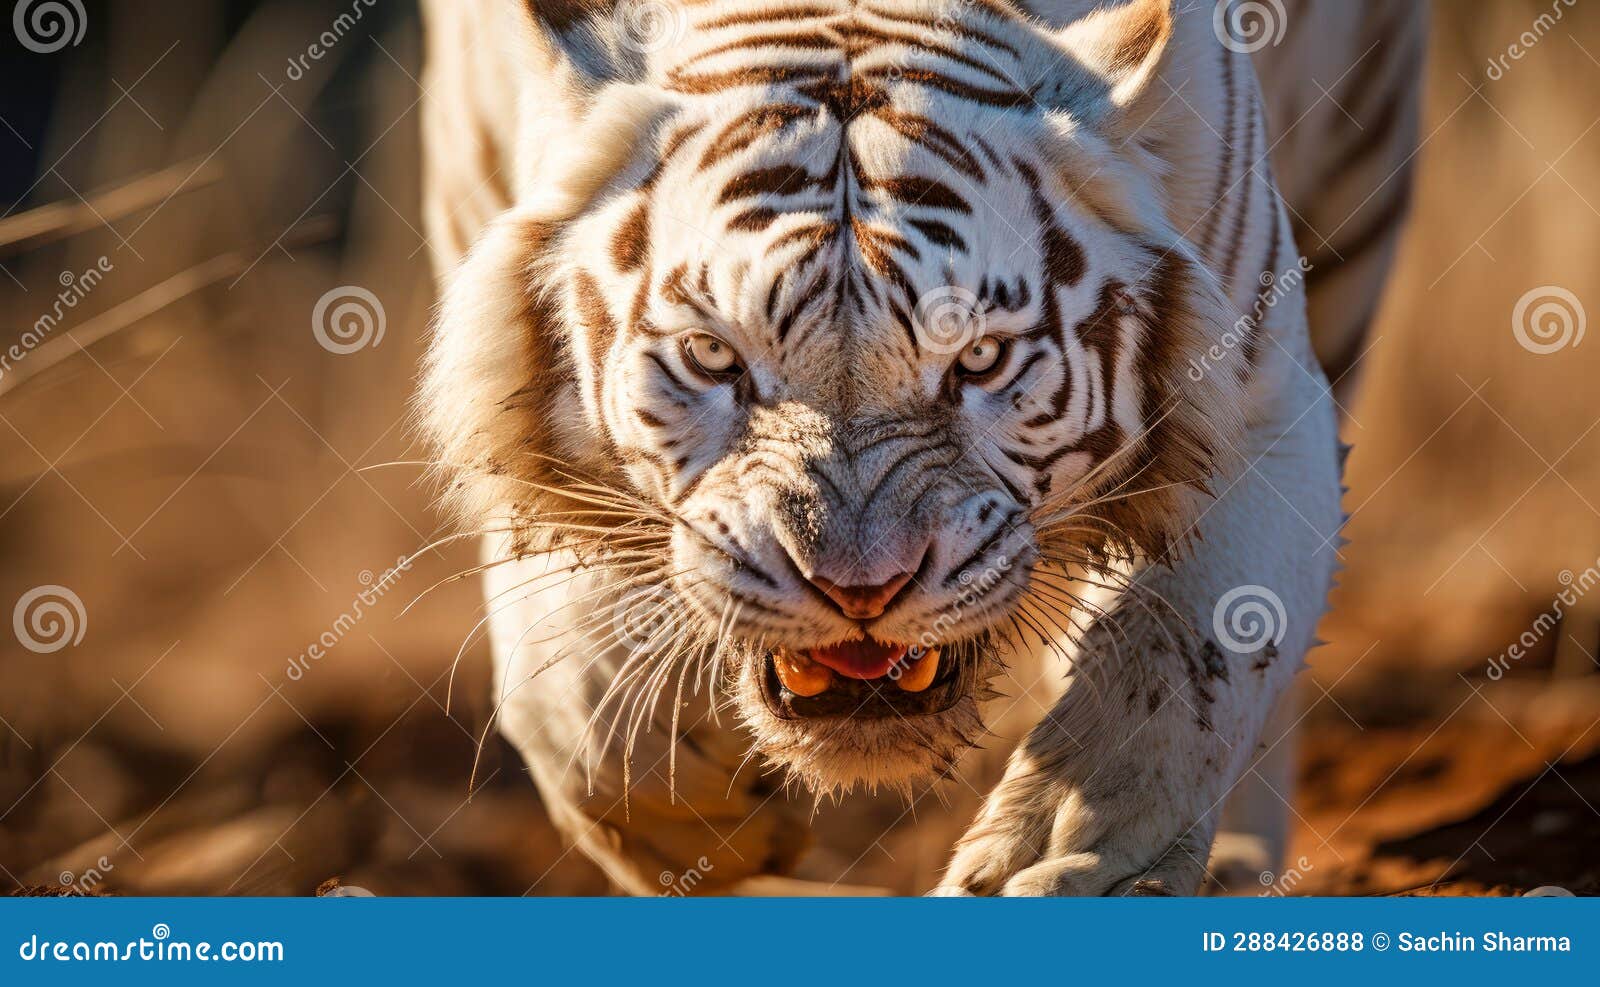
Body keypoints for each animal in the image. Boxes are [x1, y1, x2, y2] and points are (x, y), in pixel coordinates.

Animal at [415, 0, 1424, 895]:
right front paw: (685, 816)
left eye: (978, 357)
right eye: (713, 355)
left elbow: (1180, 655)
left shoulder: (1260, 398)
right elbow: (561, 660)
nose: (859, 591)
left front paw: (1064, 865)